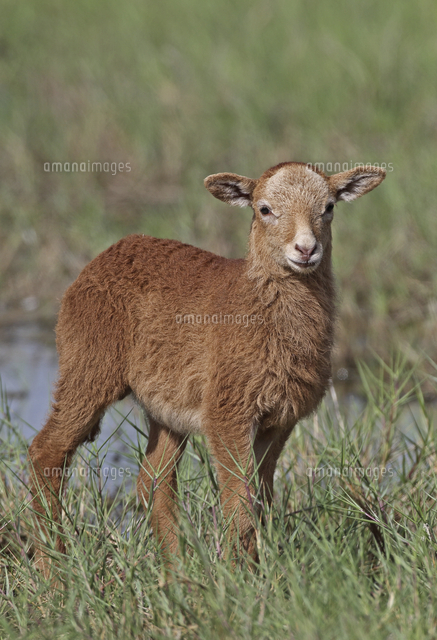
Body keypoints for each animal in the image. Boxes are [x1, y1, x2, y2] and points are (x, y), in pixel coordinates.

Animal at [28, 161, 385, 575]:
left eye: (328, 207)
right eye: (264, 209)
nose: (305, 248)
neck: (255, 305)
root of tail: (108, 253)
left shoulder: (280, 419)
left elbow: (260, 498)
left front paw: (254, 571)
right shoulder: (227, 413)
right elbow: (238, 501)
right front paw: (239, 578)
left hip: (165, 405)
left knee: (153, 480)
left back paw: (176, 574)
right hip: (87, 365)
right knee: (46, 452)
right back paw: (54, 571)